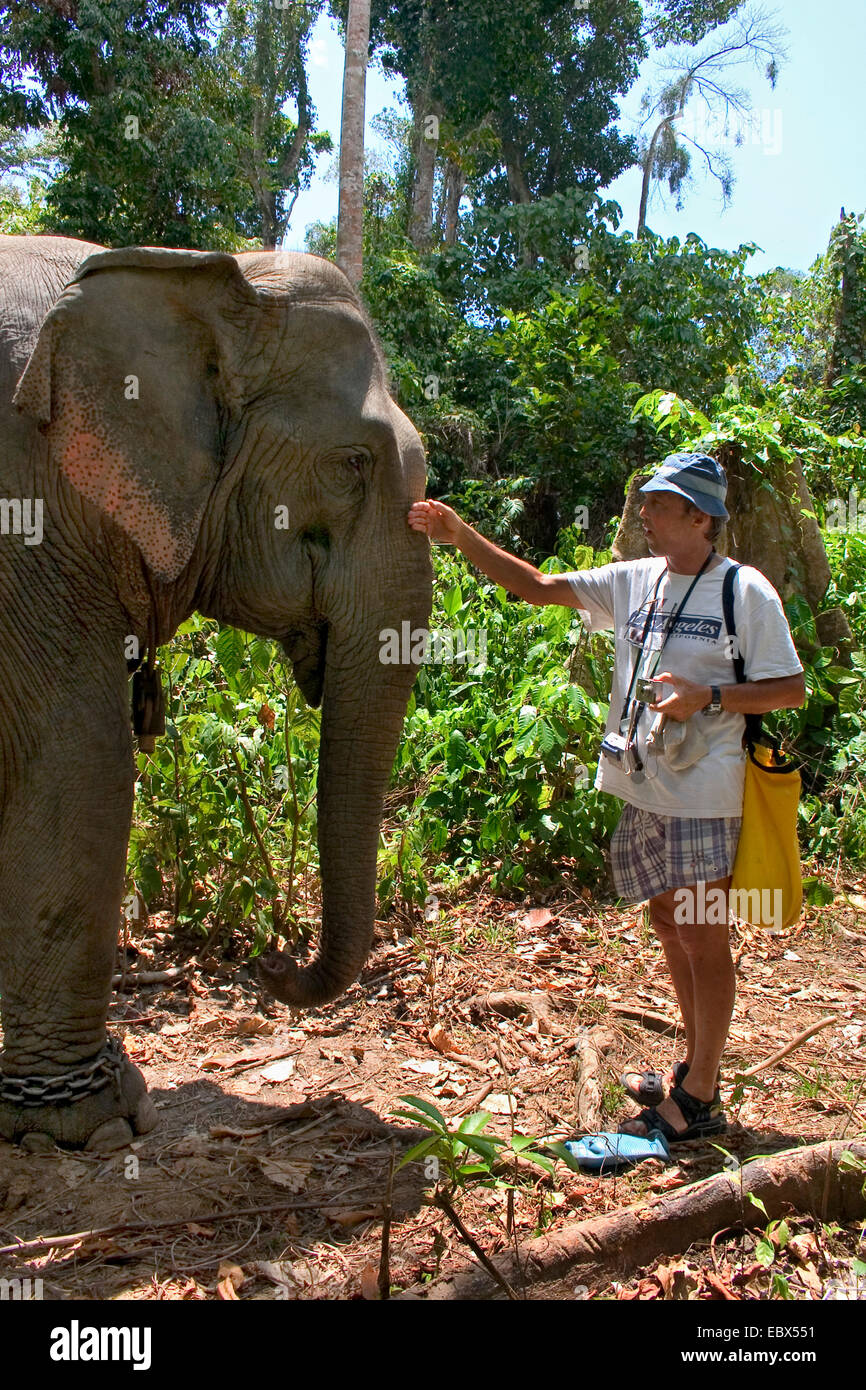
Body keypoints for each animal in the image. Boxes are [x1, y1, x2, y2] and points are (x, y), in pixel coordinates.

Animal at [0, 234, 432, 1150]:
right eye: (351, 465)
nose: (267, 963)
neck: (194, 266)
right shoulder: (27, 519)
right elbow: (82, 764)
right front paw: (86, 1122)